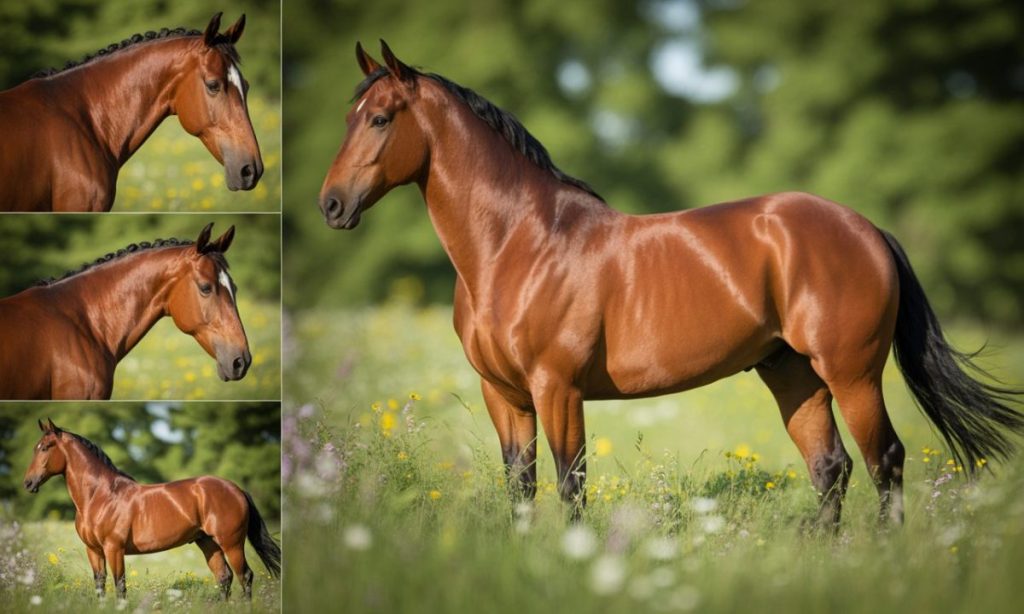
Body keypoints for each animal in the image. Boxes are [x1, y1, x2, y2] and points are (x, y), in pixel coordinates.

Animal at [23, 418, 280, 600]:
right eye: (35, 447)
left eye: (46, 447)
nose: (28, 483)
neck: (99, 497)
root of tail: (236, 489)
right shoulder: (93, 550)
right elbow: (100, 585)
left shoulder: (113, 549)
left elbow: (120, 586)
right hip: (208, 542)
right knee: (224, 578)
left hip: (232, 543)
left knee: (245, 577)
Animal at [316, 41, 1024, 528]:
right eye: (348, 116)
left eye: (380, 119)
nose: (331, 205)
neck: (517, 246)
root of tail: (865, 228)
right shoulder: (505, 395)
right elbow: (521, 487)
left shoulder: (557, 389)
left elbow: (570, 484)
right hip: (794, 374)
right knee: (832, 468)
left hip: (851, 374)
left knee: (887, 462)